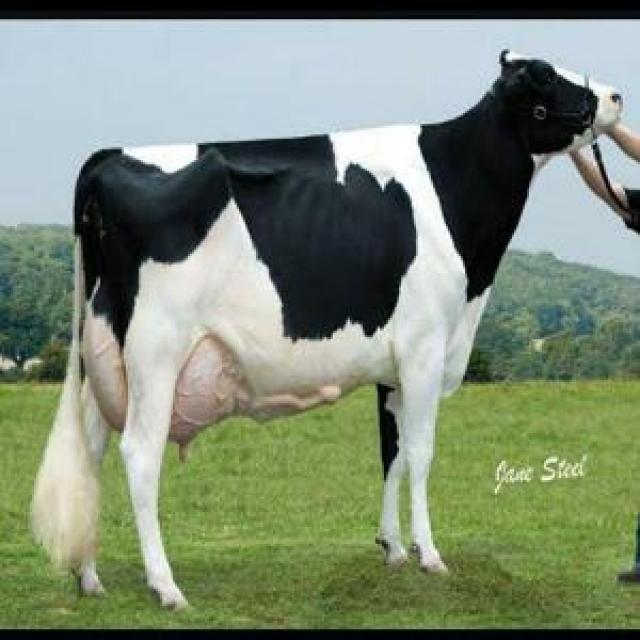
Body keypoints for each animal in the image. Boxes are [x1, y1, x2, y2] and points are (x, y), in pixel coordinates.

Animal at [31, 50, 622, 609]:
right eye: (545, 76)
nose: (616, 95)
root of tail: (109, 156)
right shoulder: (425, 347)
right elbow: (422, 451)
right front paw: (430, 555)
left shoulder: (393, 364)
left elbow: (393, 451)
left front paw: (393, 548)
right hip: (156, 351)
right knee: (139, 455)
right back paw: (166, 586)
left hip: (102, 357)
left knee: (91, 452)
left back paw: (89, 577)